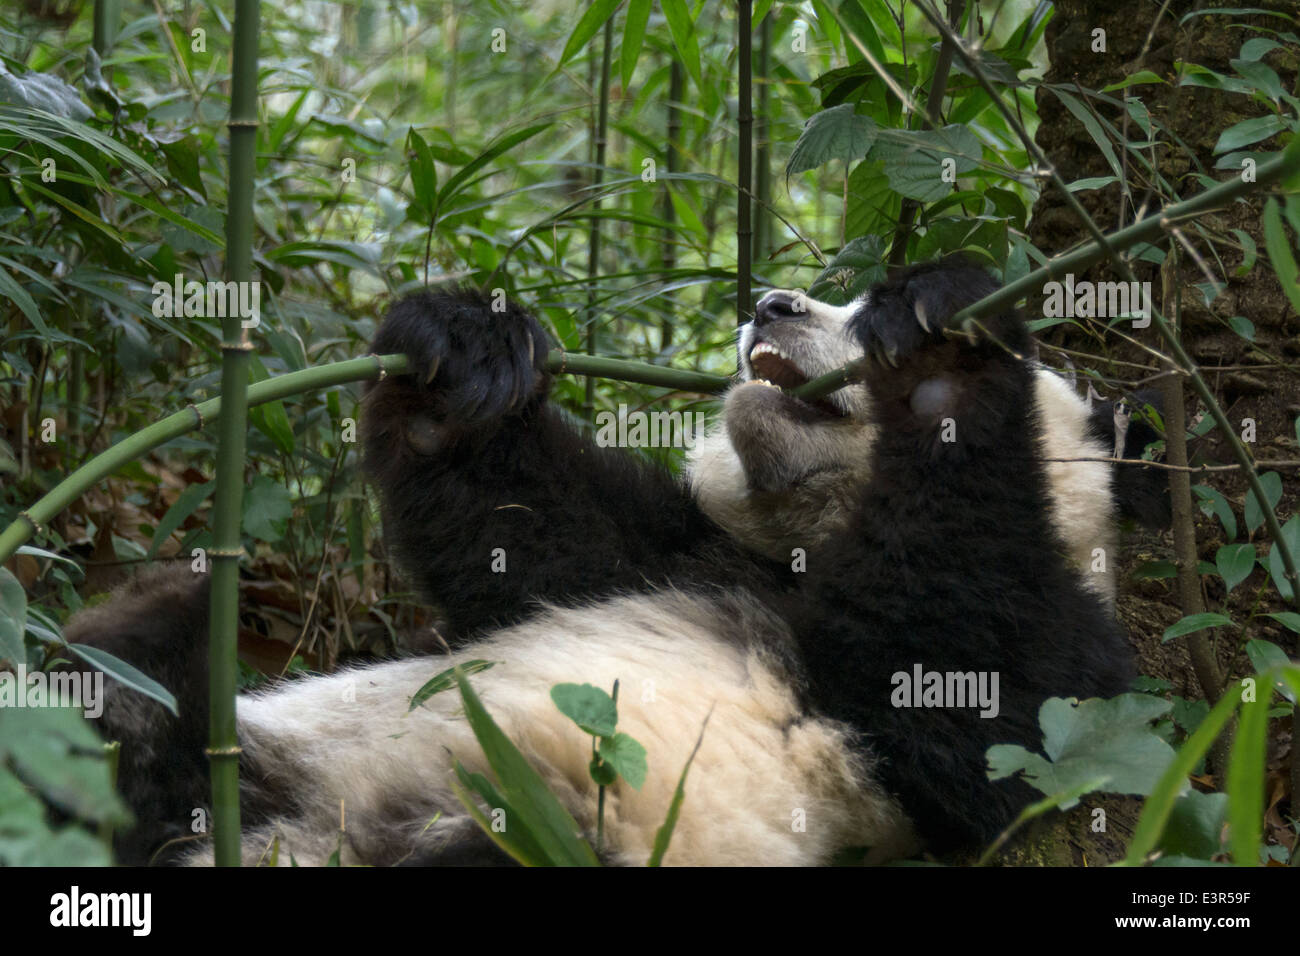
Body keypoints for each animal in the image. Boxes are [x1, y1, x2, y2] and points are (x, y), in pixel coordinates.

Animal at [64, 258, 1157, 866]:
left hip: (536, 828)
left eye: (854, 309)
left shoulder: (1062, 671)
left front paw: (940, 348)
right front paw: (465, 353)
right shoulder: (676, 553)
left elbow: (954, 668)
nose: (774, 304)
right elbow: (522, 537)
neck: (802, 551)